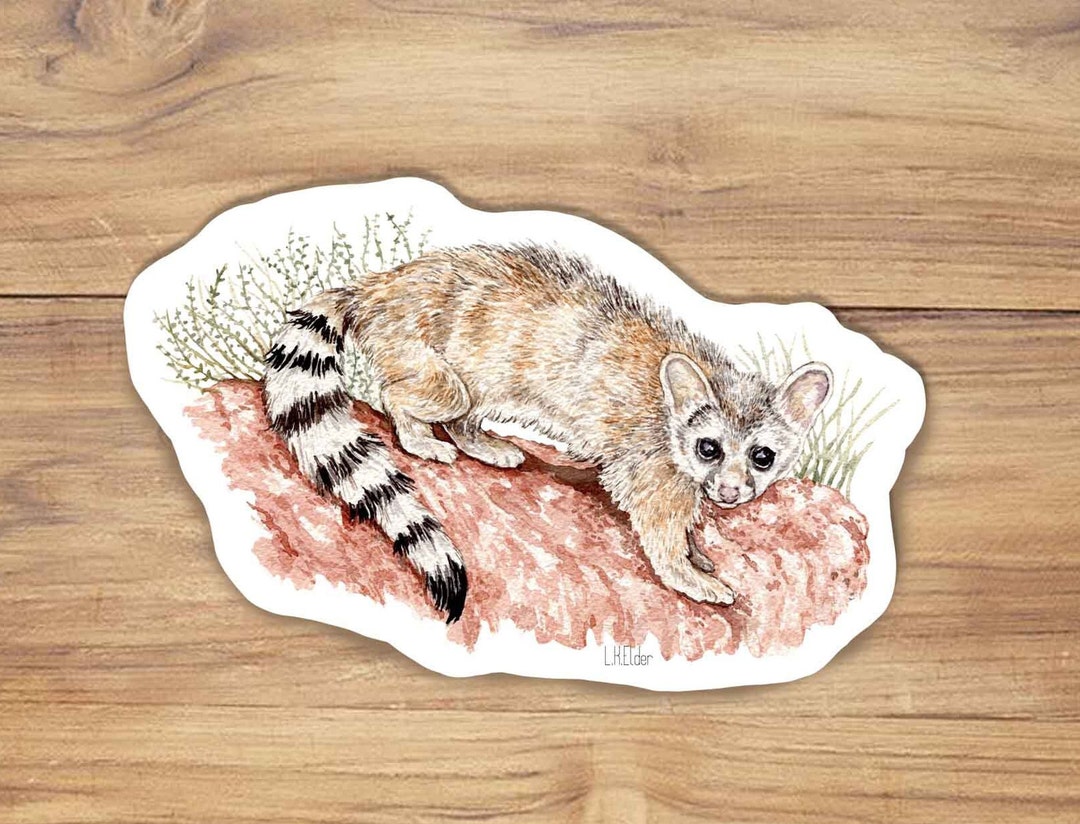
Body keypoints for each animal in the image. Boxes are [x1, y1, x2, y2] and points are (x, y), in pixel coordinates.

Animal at [262, 243, 832, 623]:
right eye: (708, 448)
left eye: (762, 456)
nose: (732, 493)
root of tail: (381, 285)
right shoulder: (652, 456)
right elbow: (656, 516)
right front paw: (683, 570)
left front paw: (696, 547)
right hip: (422, 349)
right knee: (430, 395)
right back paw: (417, 431)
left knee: (469, 407)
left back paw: (479, 440)